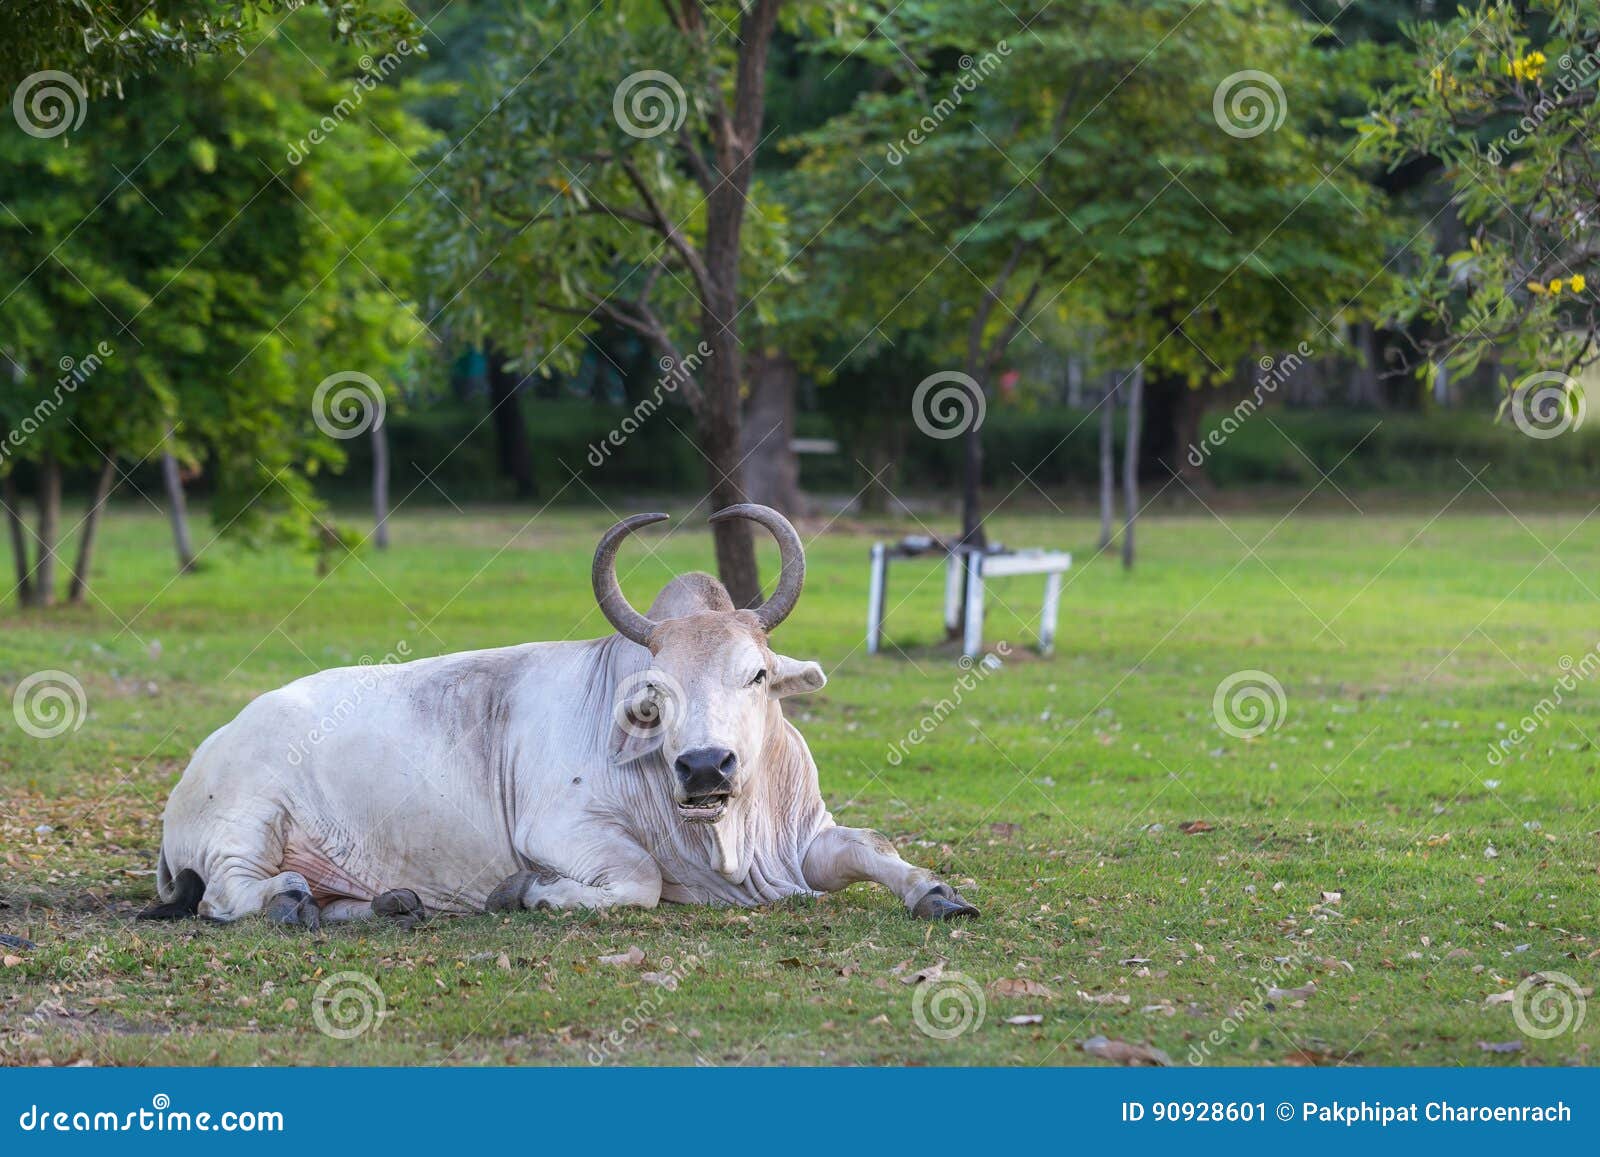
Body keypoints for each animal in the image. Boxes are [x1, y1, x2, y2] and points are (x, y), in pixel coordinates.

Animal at [140, 504, 979, 929]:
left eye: (758, 675)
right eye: (654, 694)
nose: (705, 766)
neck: (732, 840)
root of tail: (205, 753)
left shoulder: (805, 836)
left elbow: (869, 847)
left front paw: (938, 892)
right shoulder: (559, 829)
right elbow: (638, 878)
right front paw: (531, 893)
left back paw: (387, 903)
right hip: (246, 821)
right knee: (225, 894)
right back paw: (287, 899)